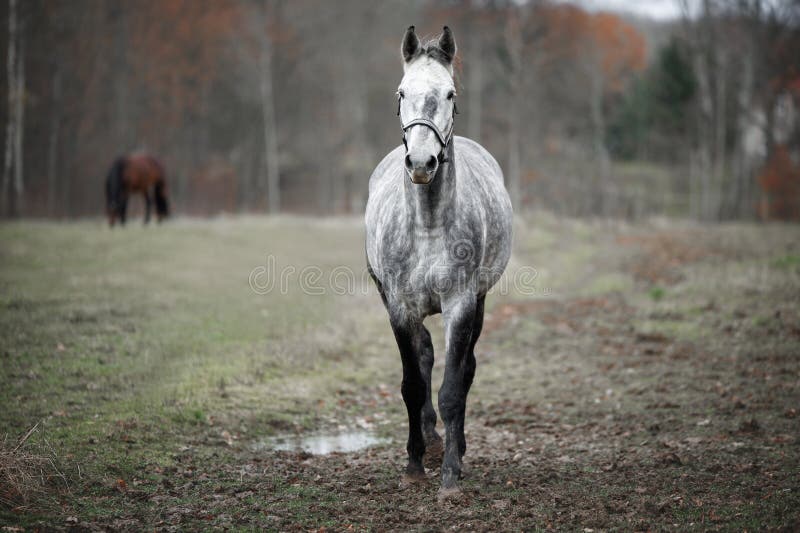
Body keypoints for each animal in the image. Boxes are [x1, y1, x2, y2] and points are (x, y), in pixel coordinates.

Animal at [365, 26, 513, 497]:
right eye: (401, 92)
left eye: (449, 93)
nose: (421, 162)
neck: (427, 225)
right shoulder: (399, 307)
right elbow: (414, 383)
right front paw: (415, 462)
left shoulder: (462, 304)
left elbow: (452, 387)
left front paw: (450, 472)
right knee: (427, 357)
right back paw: (430, 439)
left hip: (480, 301)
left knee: (464, 371)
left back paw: (455, 447)